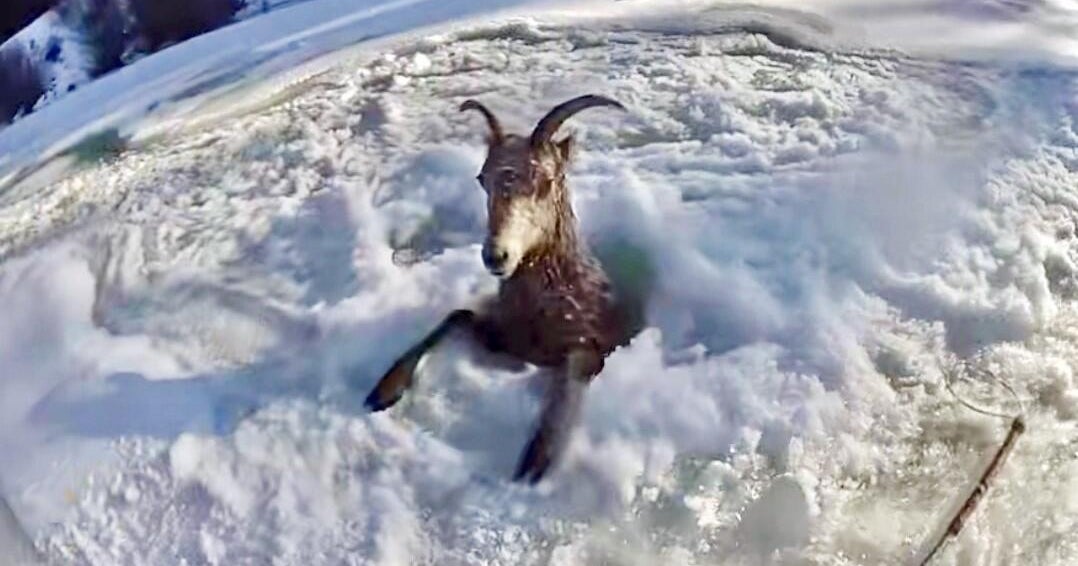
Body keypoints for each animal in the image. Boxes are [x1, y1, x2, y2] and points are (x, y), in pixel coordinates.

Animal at [364, 94, 639, 483]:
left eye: (547, 179)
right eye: (482, 178)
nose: (496, 255)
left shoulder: (588, 343)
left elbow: (575, 368)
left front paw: (536, 460)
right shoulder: (501, 335)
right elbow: (457, 315)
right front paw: (384, 390)